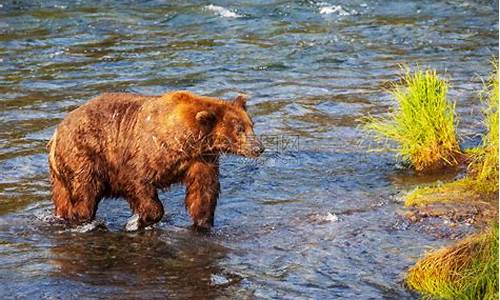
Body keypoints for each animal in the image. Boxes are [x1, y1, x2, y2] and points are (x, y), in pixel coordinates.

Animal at [47, 90, 266, 231]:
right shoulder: (147, 152)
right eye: (239, 129)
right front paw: (138, 221)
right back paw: (84, 219)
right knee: (85, 190)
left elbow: (203, 190)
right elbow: (138, 182)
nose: (259, 147)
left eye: (251, 124)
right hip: (85, 154)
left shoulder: (200, 159)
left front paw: (204, 223)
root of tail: (57, 132)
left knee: (63, 197)